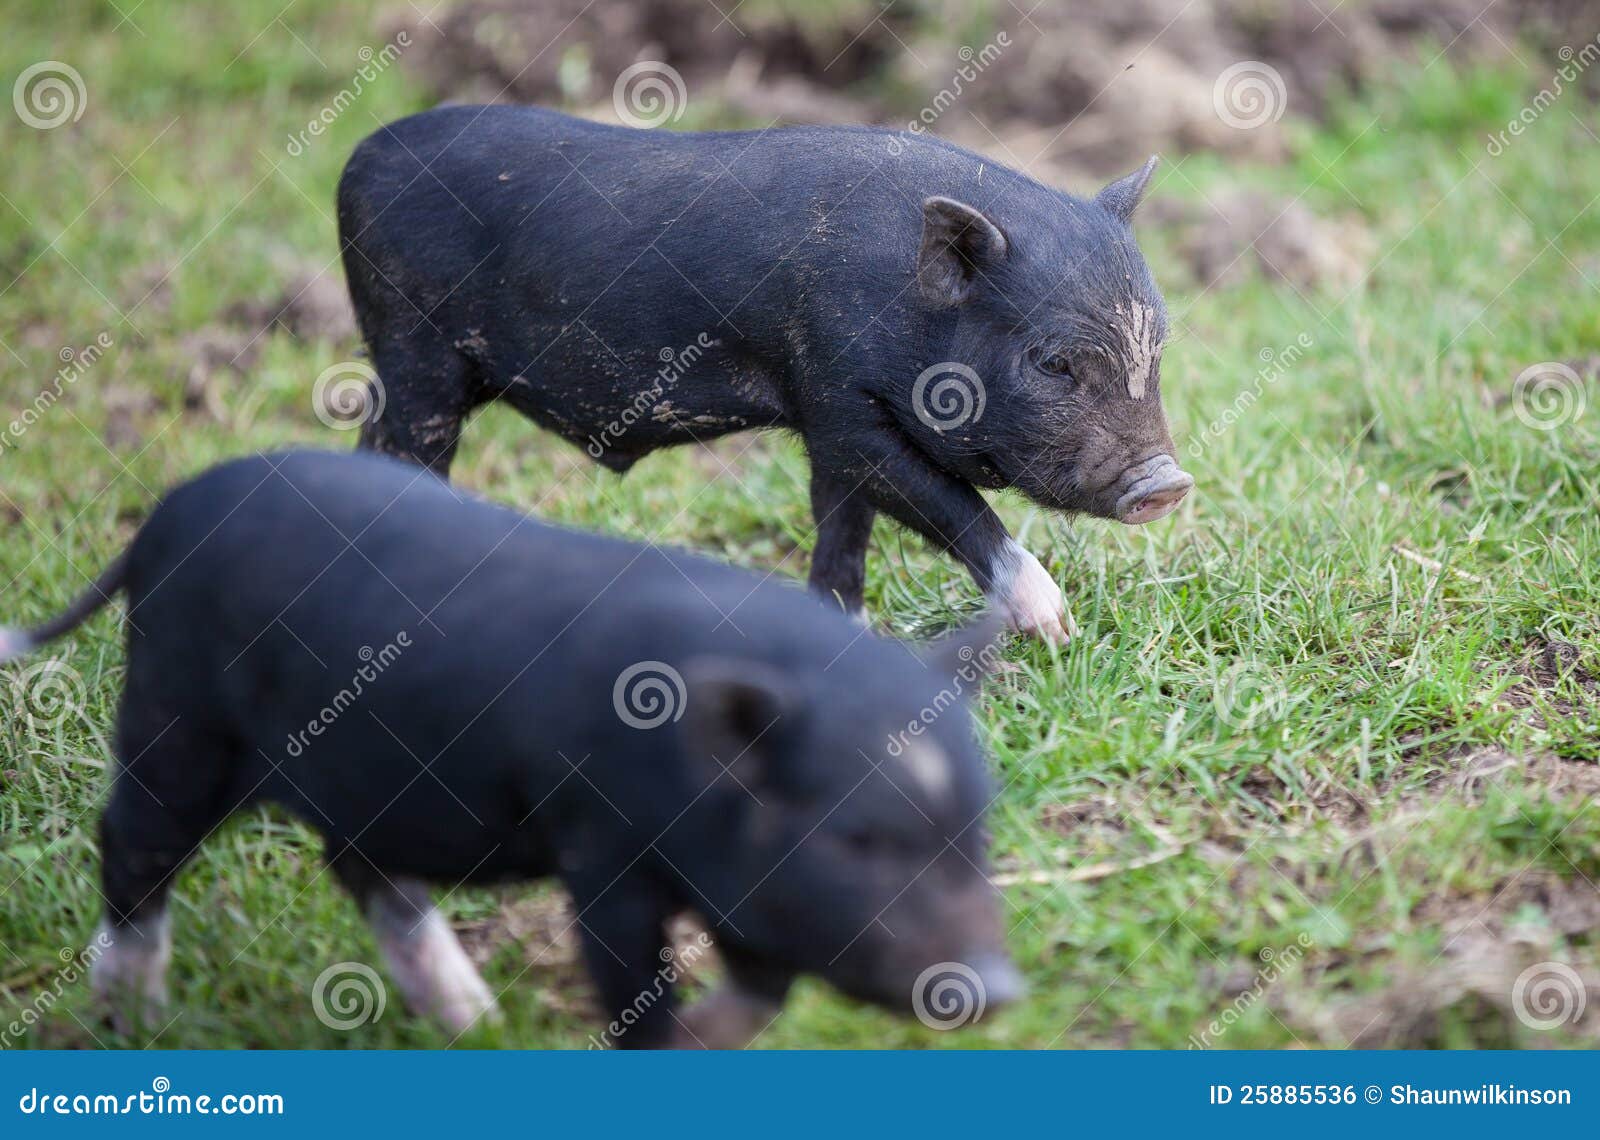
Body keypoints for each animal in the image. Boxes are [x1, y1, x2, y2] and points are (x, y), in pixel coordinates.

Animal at [0, 450, 1020, 1048]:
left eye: (975, 836)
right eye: (860, 839)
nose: (1000, 988)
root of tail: (163, 518)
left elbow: (762, 993)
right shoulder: (599, 845)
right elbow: (632, 981)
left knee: (371, 878)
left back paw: (476, 1023)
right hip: (175, 721)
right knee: (132, 846)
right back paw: (131, 1021)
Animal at [337, 106, 1193, 643]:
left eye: (1159, 346)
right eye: (1053, 362)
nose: (1167, 483)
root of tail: (358, 158)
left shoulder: (831, 427)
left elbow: (842, 528)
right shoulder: (839, 403)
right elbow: (947, 502)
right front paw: (1057, 626)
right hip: (414, 353)